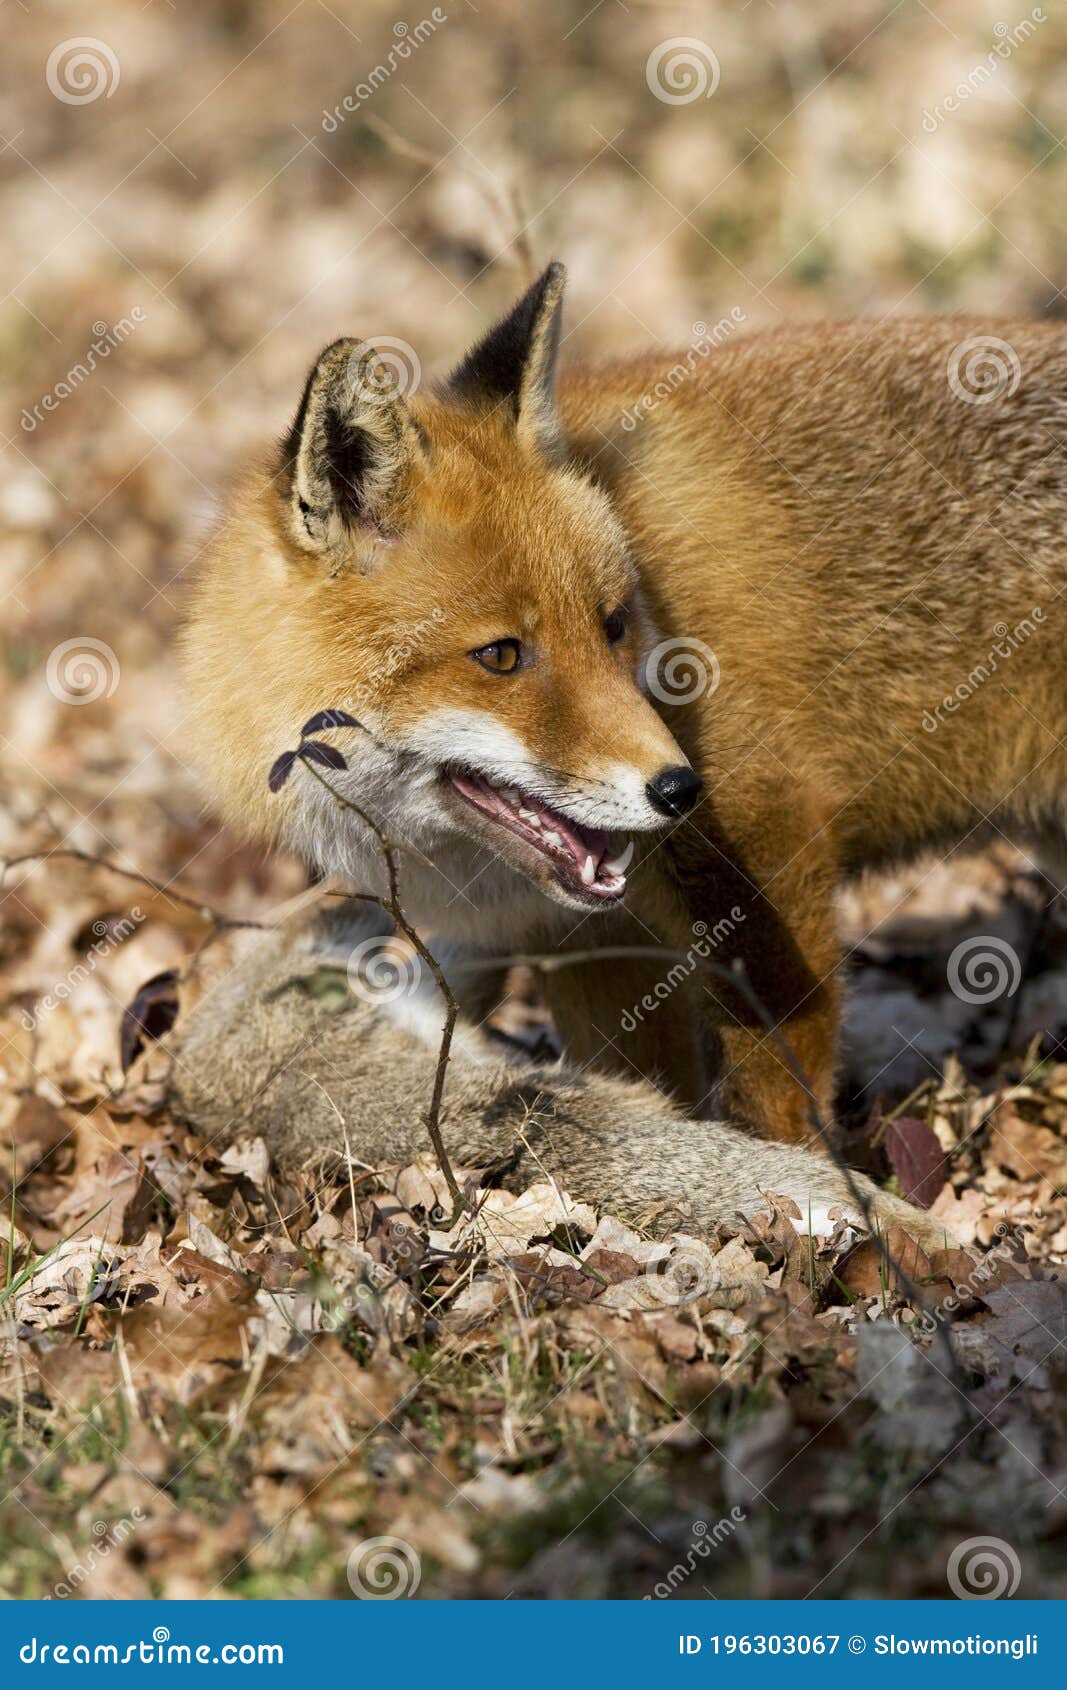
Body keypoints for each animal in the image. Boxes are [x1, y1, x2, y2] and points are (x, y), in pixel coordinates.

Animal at [183, 261, 1067, 1148]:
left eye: (611, 624)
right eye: (500, 656)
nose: (679, 790)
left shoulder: (771, 853)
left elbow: (778, 1104)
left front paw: (803, 1184)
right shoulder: (594, 938)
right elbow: (653, 1085)